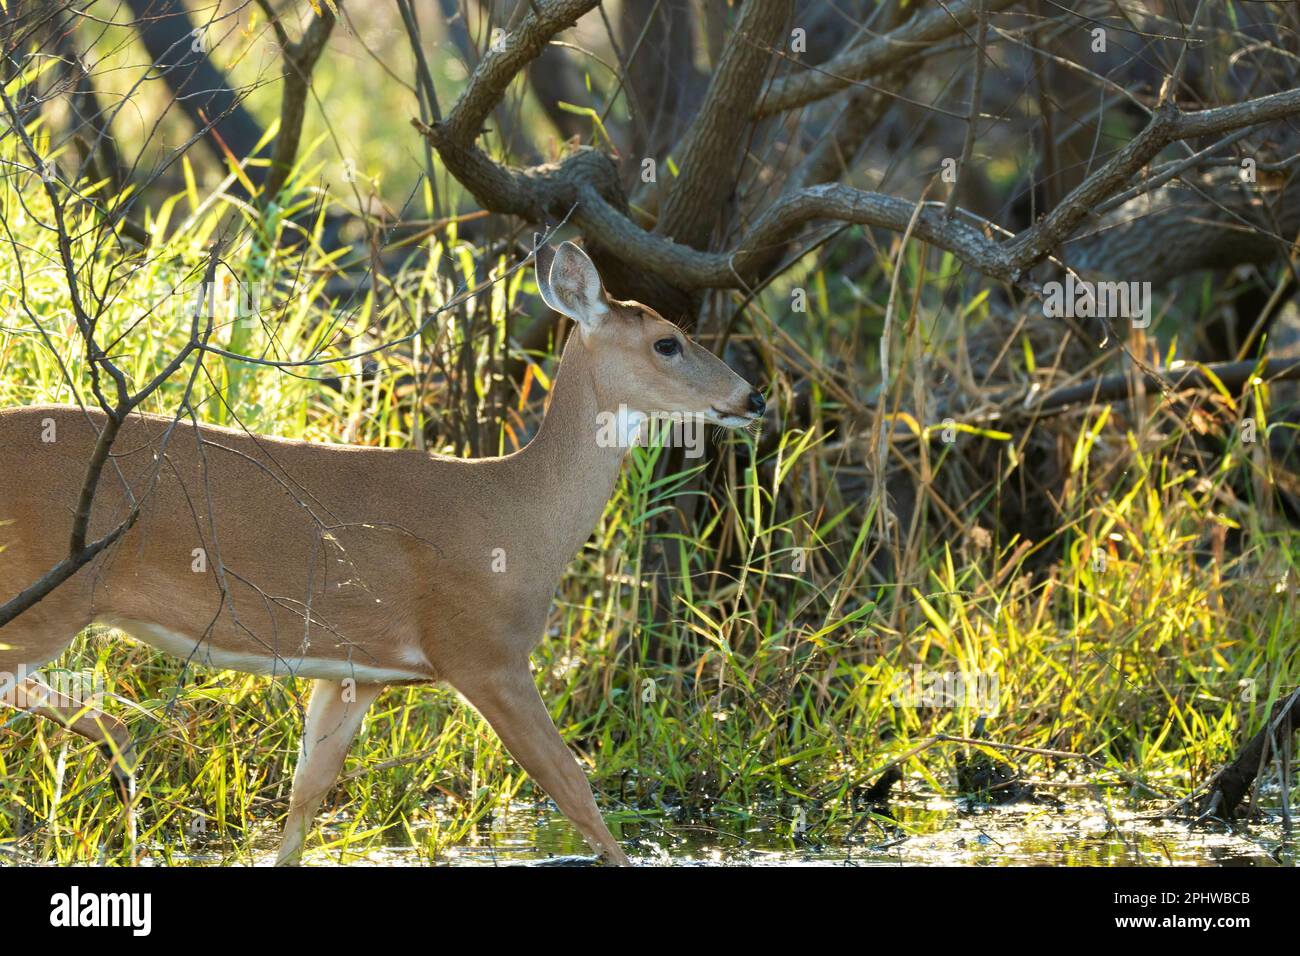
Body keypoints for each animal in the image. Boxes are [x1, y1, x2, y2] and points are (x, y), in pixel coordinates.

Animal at [0, 241, 765, 866]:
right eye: (668, 342)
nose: (752, 397)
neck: (518, 517)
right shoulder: (483, 650)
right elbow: (578, 794)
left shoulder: (353, 672)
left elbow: (304, 800)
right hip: (44, 595)